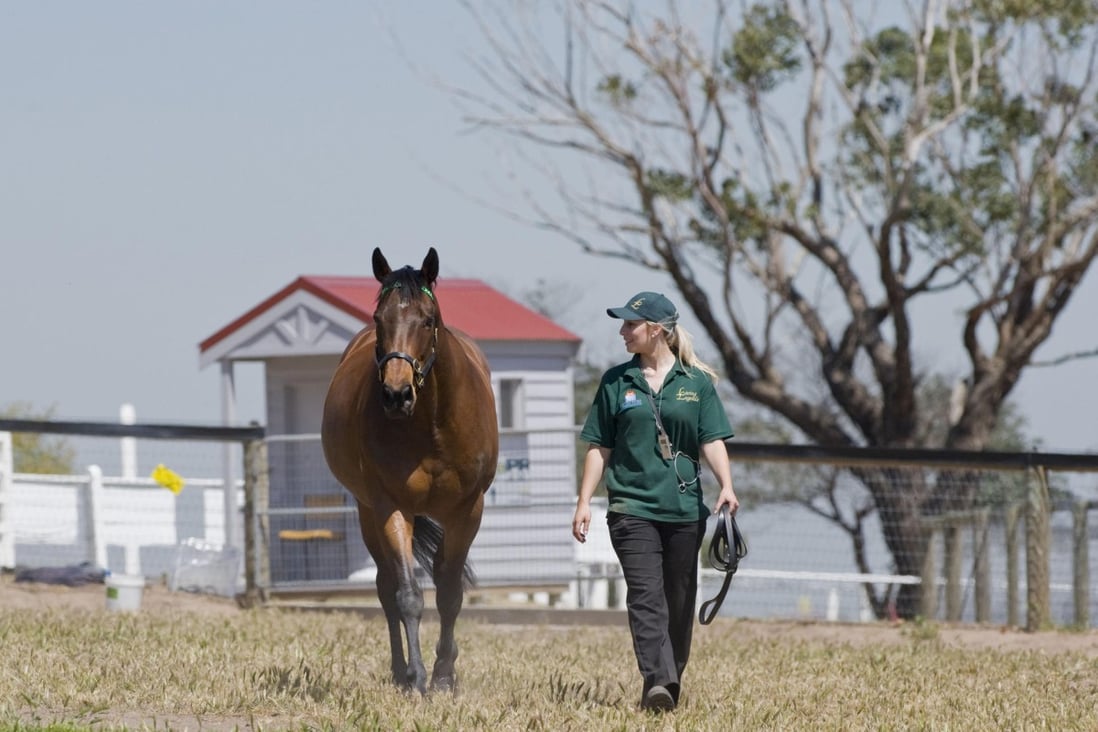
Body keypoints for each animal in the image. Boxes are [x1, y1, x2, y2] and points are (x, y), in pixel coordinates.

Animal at [321, 247, 499, 694]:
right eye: (378, 318)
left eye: (427, 319)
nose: (396, 394)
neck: (431, 424)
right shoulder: (390, 506)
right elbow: (407, 594)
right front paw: (418, 676)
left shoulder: (467, 510)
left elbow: (450, 592)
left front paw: (444, 675)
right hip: (367, 512)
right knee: (386, 587)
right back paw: (400, 672)